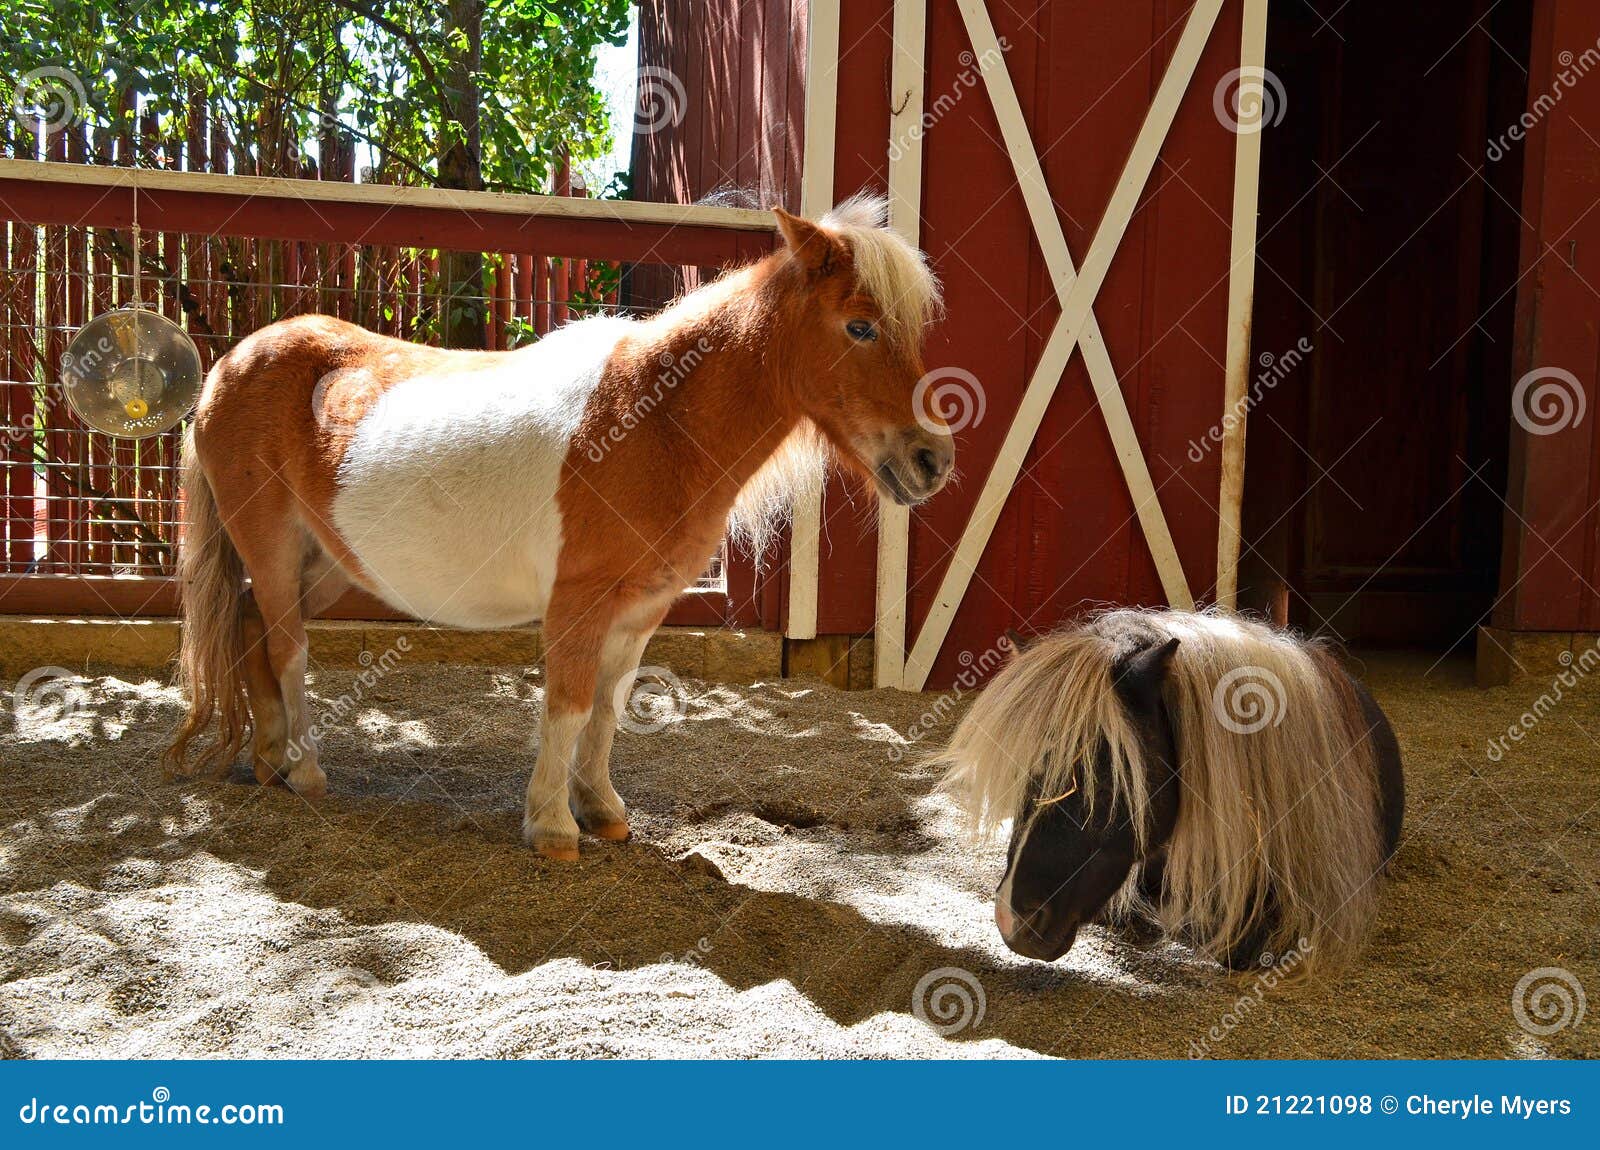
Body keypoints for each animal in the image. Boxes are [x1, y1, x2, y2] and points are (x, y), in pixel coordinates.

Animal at [163, 194, 953, 860]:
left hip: (322, 562)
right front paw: (551, 827)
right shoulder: (578, 602)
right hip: (270, 547)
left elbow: (606, 710)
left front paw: (602, 811)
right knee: (288, 649)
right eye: (859, 325)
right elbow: (568, 707)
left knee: (250, 628)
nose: (932, 460)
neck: (656, 420)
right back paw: (305, 771)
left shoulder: (640, 609)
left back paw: (268, 761)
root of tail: (229, 363)